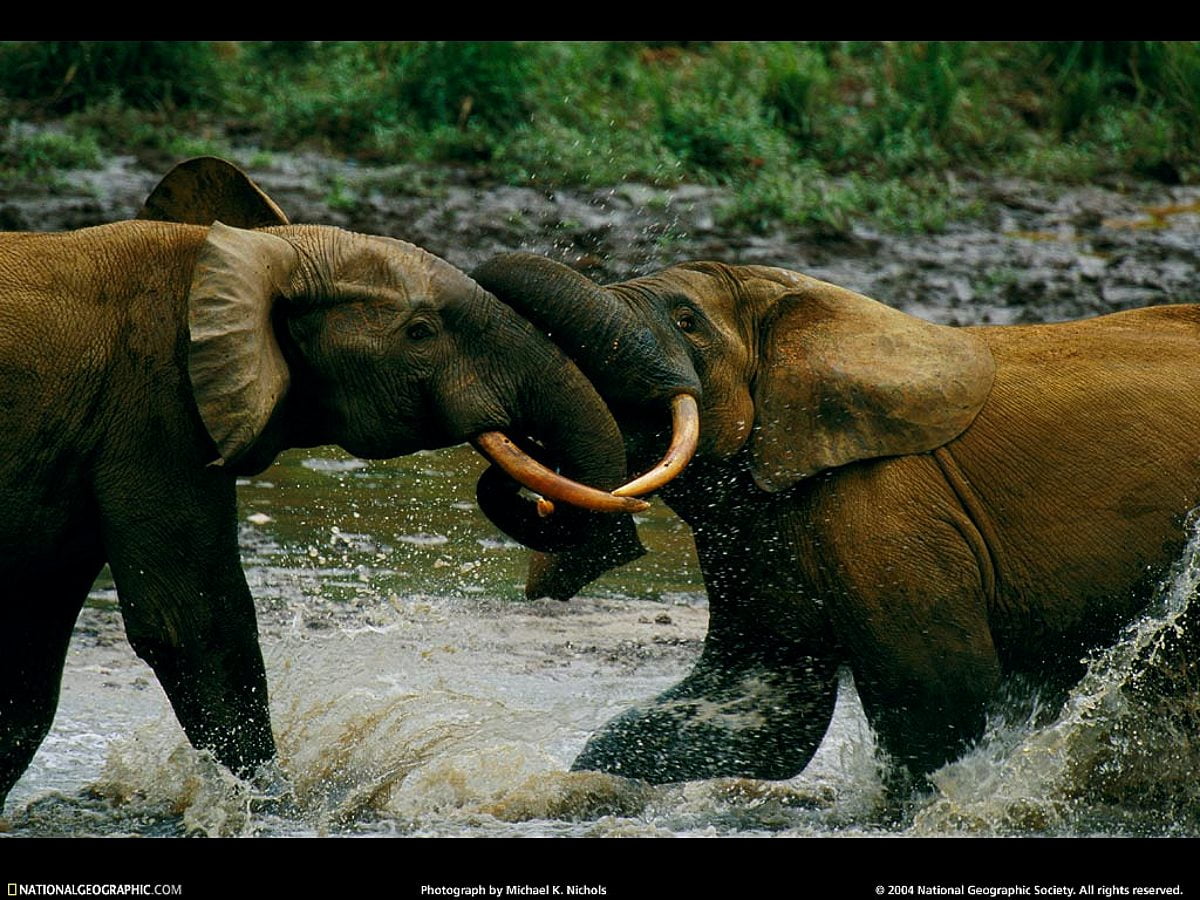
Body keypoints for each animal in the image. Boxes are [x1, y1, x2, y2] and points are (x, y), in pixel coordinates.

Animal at [0, 159, 650, 809]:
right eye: (420, 333)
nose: (540, 505)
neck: (232, 256)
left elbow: (30, 656)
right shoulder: (155, 408)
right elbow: (193, 623)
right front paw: (274, 807)